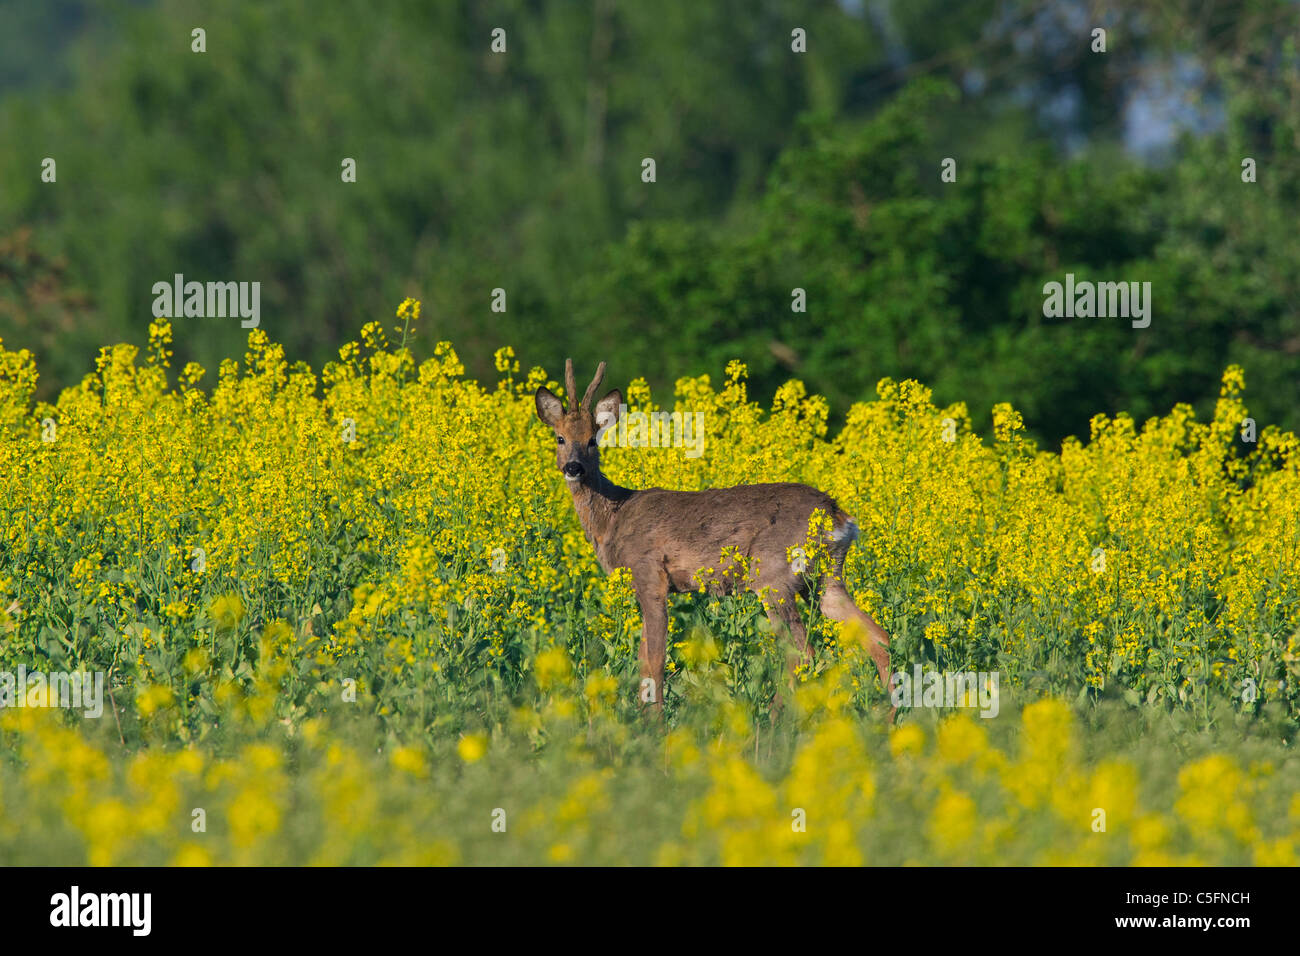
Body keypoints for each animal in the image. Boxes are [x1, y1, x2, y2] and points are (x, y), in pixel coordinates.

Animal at [535, 359, 893, 718]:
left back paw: (771, 717)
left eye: (592, 440)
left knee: (801, 651)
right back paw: (889, 715)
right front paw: (641, 717)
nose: (573, 468)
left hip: (773, 575)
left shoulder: (650, 573)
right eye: (560, 438)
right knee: (879, 637)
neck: (613, 517)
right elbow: (643, 660)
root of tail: (838, 517)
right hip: (825, 577)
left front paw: (655, 721)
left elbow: (656, 659)